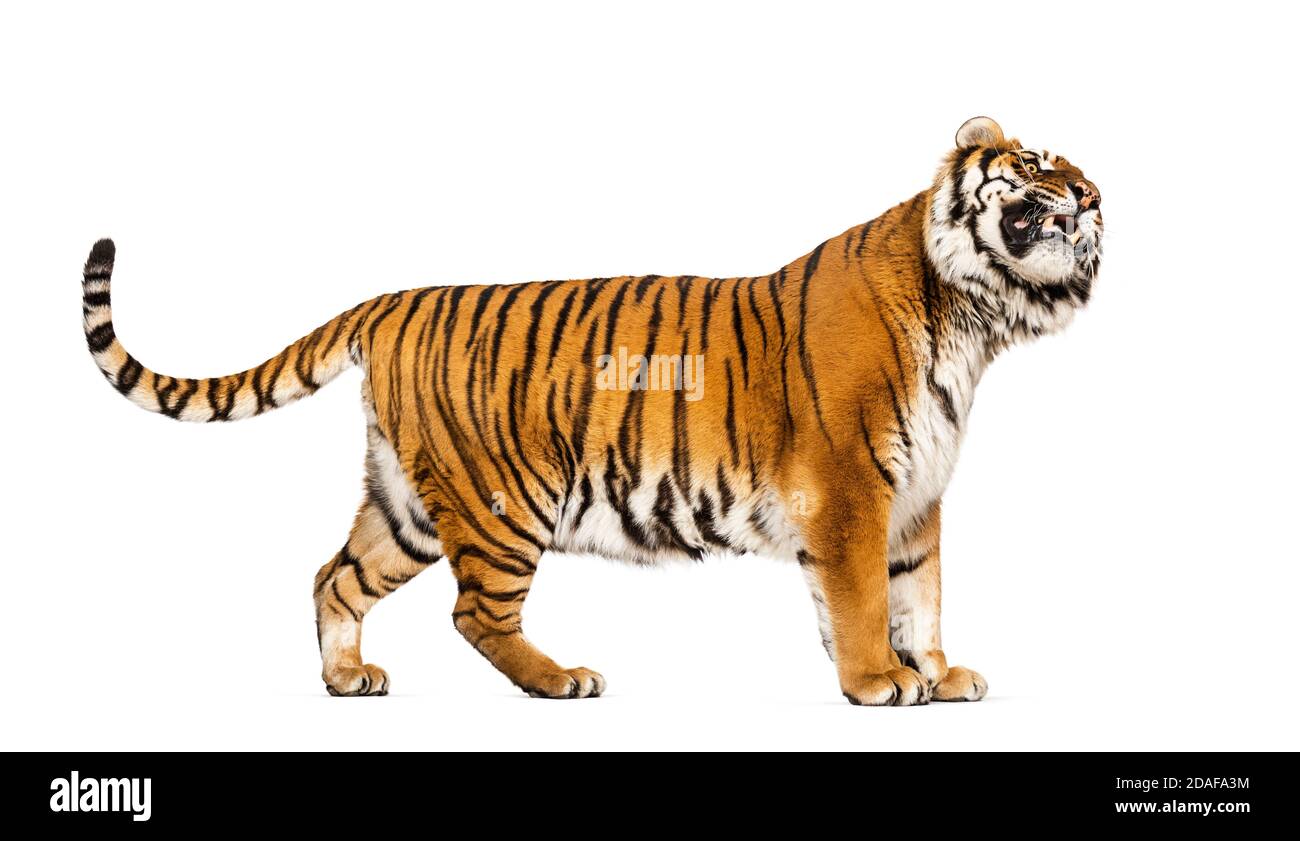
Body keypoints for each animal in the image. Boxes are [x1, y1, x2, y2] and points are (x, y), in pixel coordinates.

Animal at [83, 116, 1101, 705]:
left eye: (1080, 176)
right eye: (1034, 163)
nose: (1092, 195)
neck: (975, 314)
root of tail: (389, 302)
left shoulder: (916, 499)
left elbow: (919, 595)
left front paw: (938, 673)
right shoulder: (849, 489)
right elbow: (860, 601)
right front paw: (878, 683)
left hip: (407, 504)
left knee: (334, 576)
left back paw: (345, 678)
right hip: (503, 499)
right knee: (475, 614)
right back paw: (560, 678)